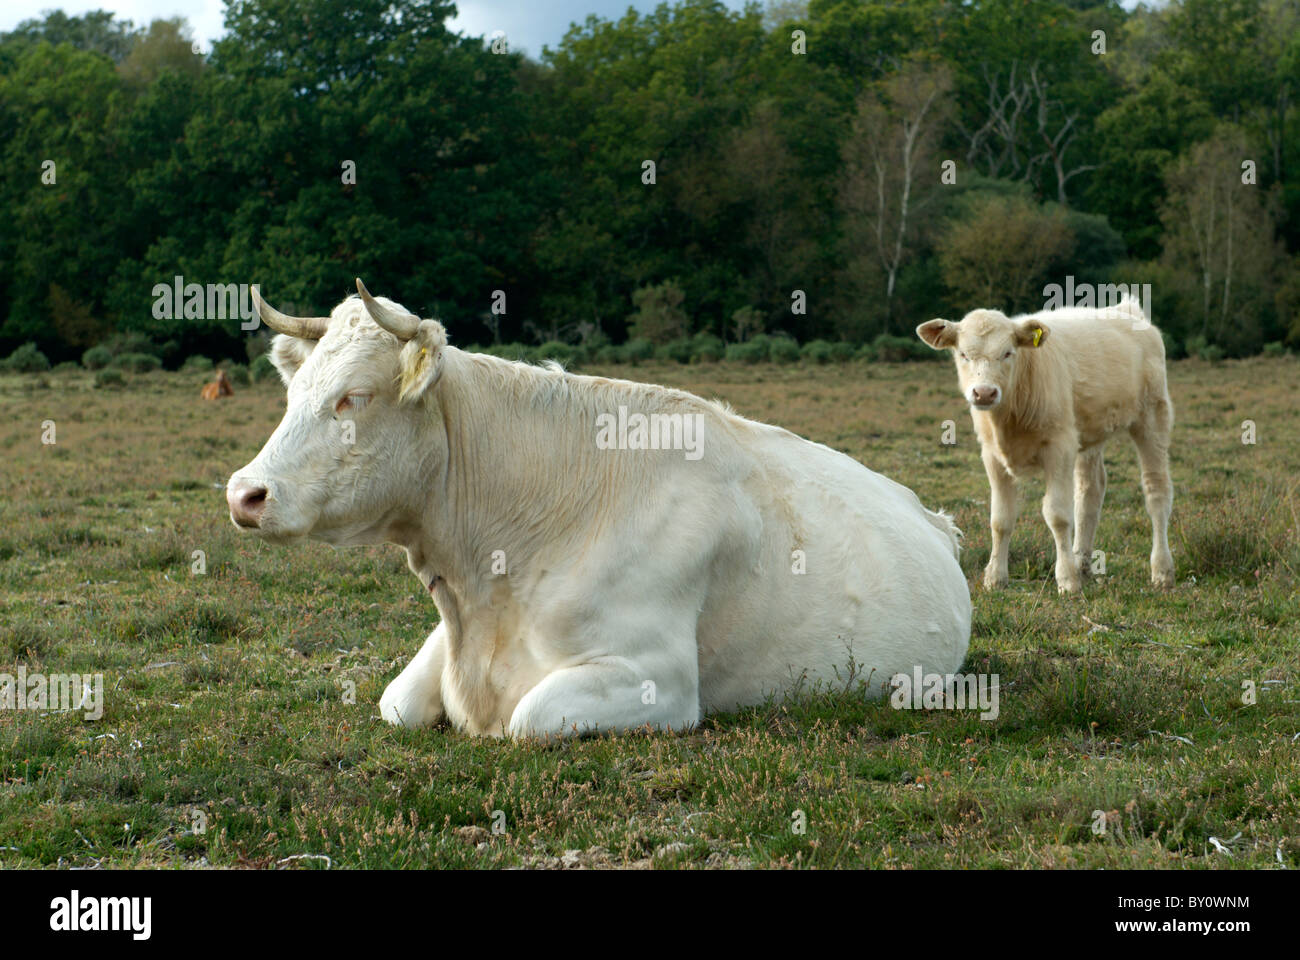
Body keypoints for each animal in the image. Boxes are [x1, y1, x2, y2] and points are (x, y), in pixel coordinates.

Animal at [225, 279, 971, 738]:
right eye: (295, 390)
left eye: (354, 396)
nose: (243, 493)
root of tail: (931, 516)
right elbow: (397, 702)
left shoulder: (660, 680)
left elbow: (529, 717)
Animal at [916, 297, 1174, 595]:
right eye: (963, 355)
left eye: (1007, 353)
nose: (984, 393)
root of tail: (1127, 309)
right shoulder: (992, 455)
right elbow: (1000, 519)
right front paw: (995, 577)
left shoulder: (1059, 448)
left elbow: (1058, 515)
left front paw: (1067, 580)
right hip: (1089, 433)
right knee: (1090, 491)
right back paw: (1082, 563)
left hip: (1152, 416)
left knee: (1156, 491)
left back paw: (1161, 570)